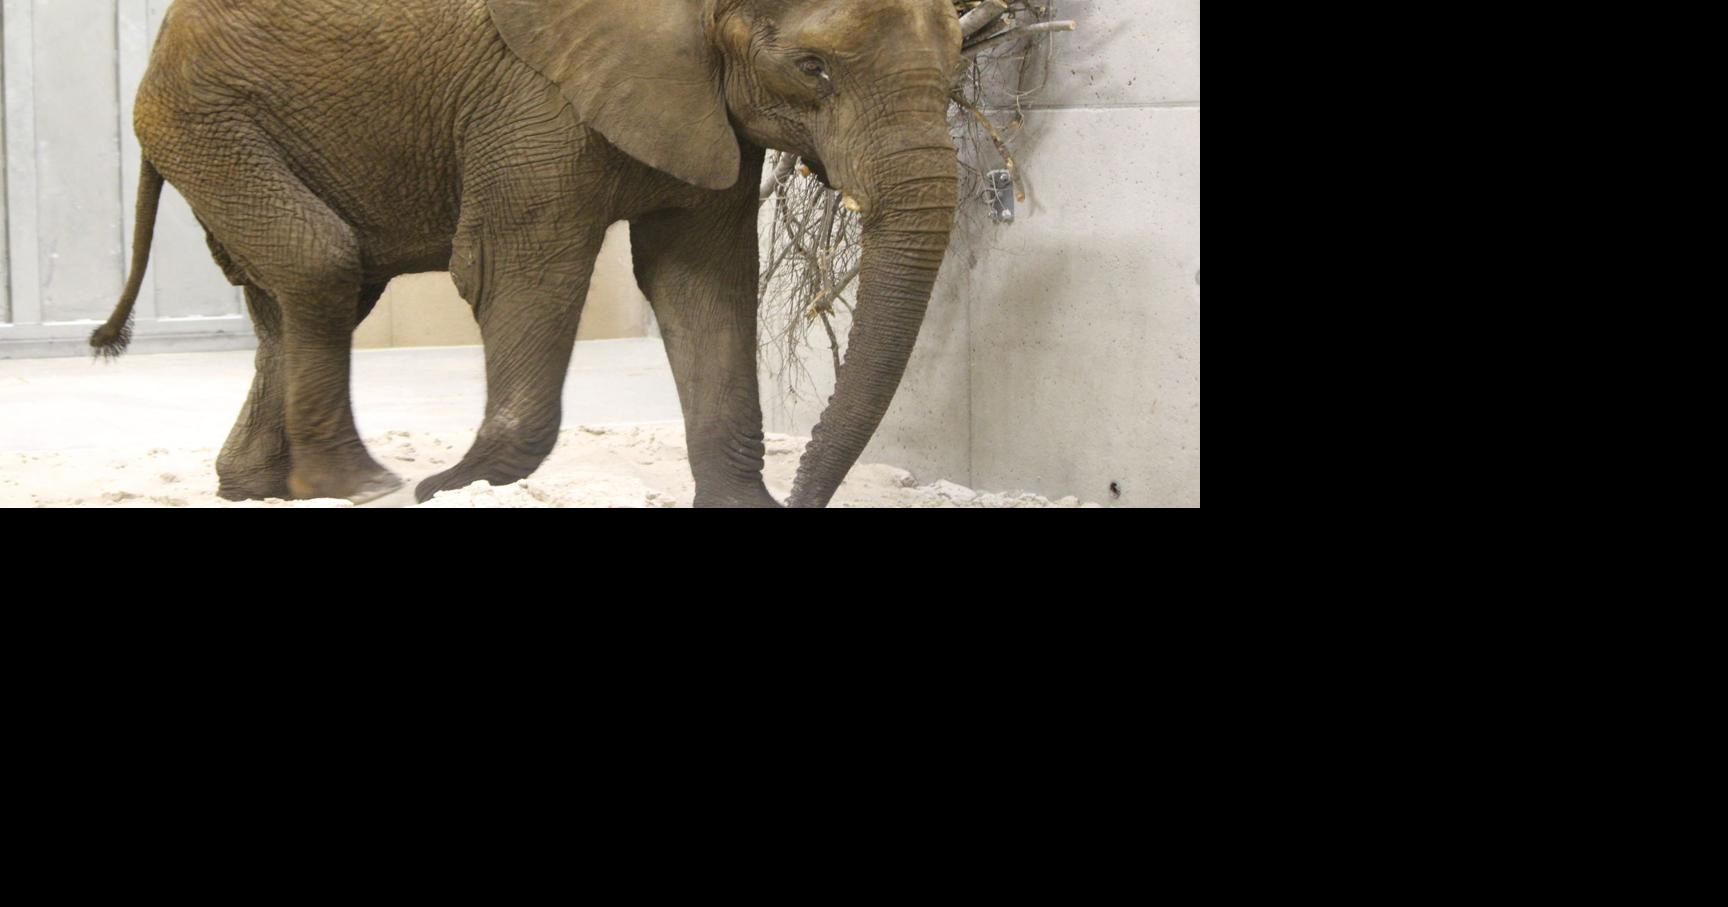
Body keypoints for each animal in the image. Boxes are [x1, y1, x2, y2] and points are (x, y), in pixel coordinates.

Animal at [88, 0, 963, 507]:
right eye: (812, 68)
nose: (800, 500)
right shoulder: (528, 98)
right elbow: (524, 269)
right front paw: (450, 487)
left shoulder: (706, 105)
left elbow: (701, 278)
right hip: (205, 115)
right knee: (323, 262)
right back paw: (365, 486)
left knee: (306, 293)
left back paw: (266, 488)